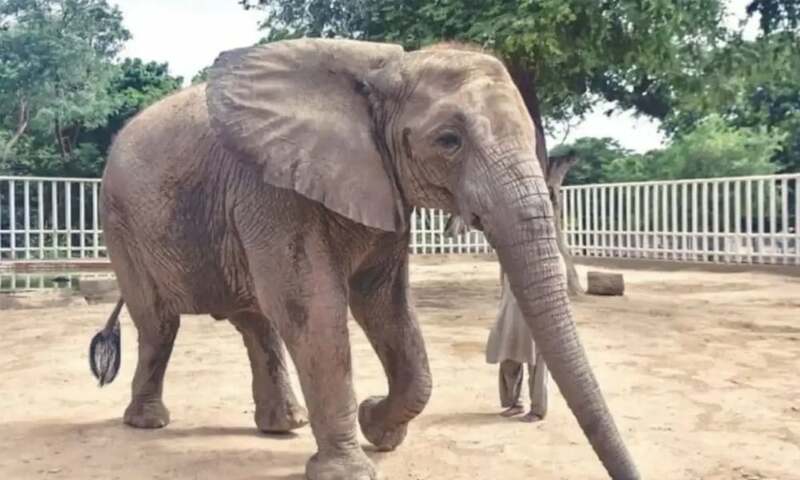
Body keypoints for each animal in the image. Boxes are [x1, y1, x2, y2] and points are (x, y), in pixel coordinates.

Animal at [88, 38, 639, 480]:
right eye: (449, 141)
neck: (389, 68)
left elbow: (385, 305)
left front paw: (378, 426)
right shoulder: (271, 189)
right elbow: (315, 309)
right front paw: (350, 468)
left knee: (255, 322)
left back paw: (284, 426)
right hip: (121, 223)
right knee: (160, 323)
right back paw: (149, 422)